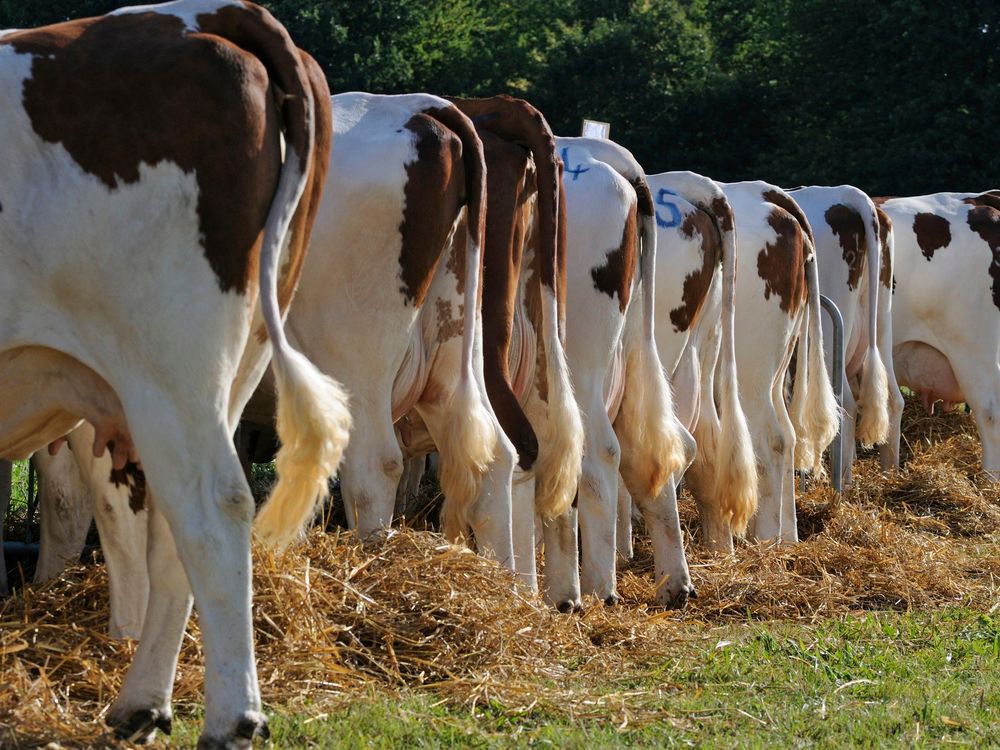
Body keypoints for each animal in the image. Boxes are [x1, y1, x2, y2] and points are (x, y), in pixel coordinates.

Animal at [0, 3, 350, 746]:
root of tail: (203, 16)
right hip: (227, 368)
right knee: (174, 532)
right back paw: (142, 704)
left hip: (166, 366)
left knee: (213, 510)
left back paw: (231, 718)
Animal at [547, 137, 690, 609]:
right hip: (629, 345)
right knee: (647, 447)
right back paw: (673, 582)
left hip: (579, 353)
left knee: (593, 448)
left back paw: (590, 588)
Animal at [790, 185, 893, 485]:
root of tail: (846, 192)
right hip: (881, 321)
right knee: (892, 396)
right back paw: (890, 474)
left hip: (826, 328)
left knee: (843, 400)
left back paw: (841, 481)